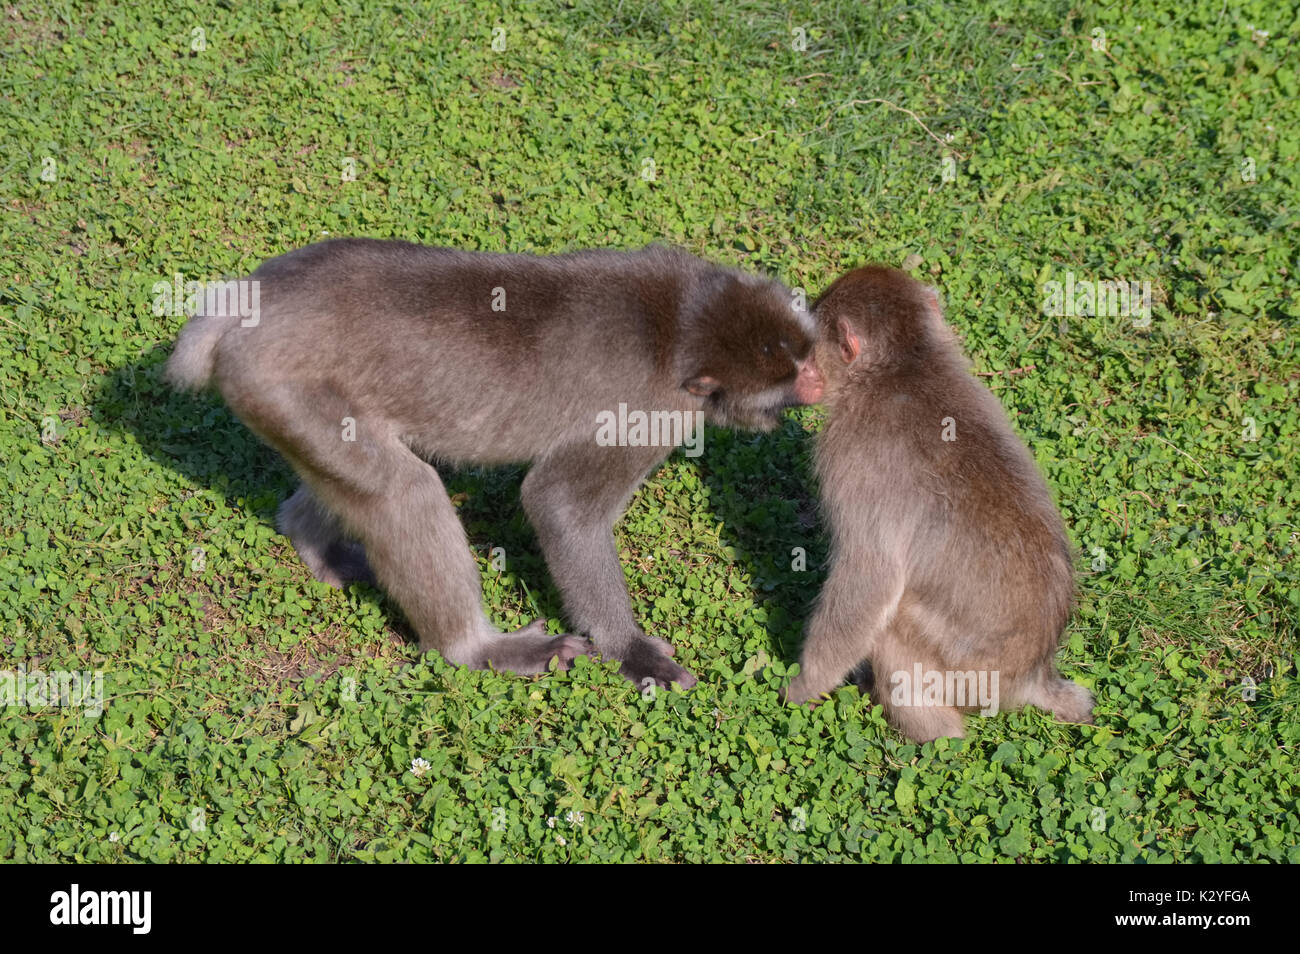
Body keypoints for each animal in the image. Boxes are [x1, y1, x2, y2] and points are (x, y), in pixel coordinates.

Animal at [165, 239, 824, 690]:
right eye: (791, 376)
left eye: (806, 355)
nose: (821, 381)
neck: (682, 321)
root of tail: (255, 296)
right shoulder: (649, 411)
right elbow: (558, 503)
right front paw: (629, 649)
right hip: (276, 381)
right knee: (404, 491)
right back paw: (474, 649)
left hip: (285, 402)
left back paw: (312, 539)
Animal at [783, 266, 1094, 741]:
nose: (807, 372)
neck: (903, 364)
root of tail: (1033, 675)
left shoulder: (848, 454)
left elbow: (870, 579)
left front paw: (802, 685)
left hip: (962, 666)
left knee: (893, 631)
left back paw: (938, 738)